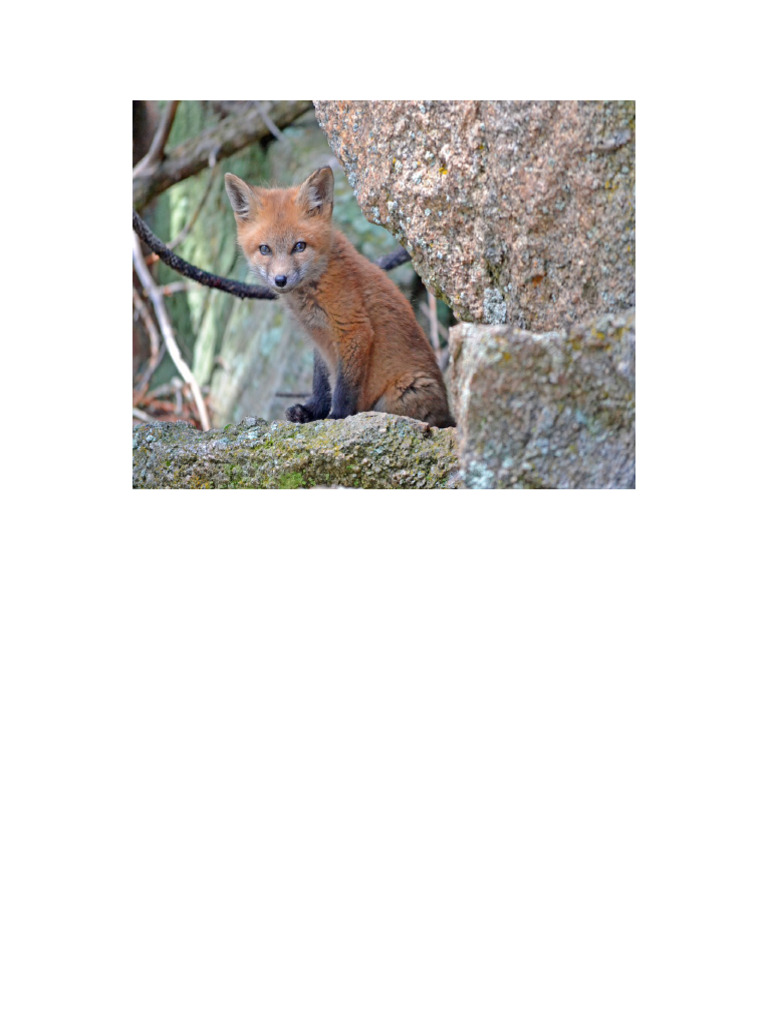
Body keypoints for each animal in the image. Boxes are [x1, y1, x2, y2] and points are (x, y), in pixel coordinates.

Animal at [224, 166, 455, 427]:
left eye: (299, 246)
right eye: (265, 249)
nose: (280, 280)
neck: (317, 284)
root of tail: (448, 415)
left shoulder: (353, 329)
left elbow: (344, 388)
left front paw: (338, 417)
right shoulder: (320, 341)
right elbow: (322, 384)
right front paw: (312, 411)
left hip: (404, 392)